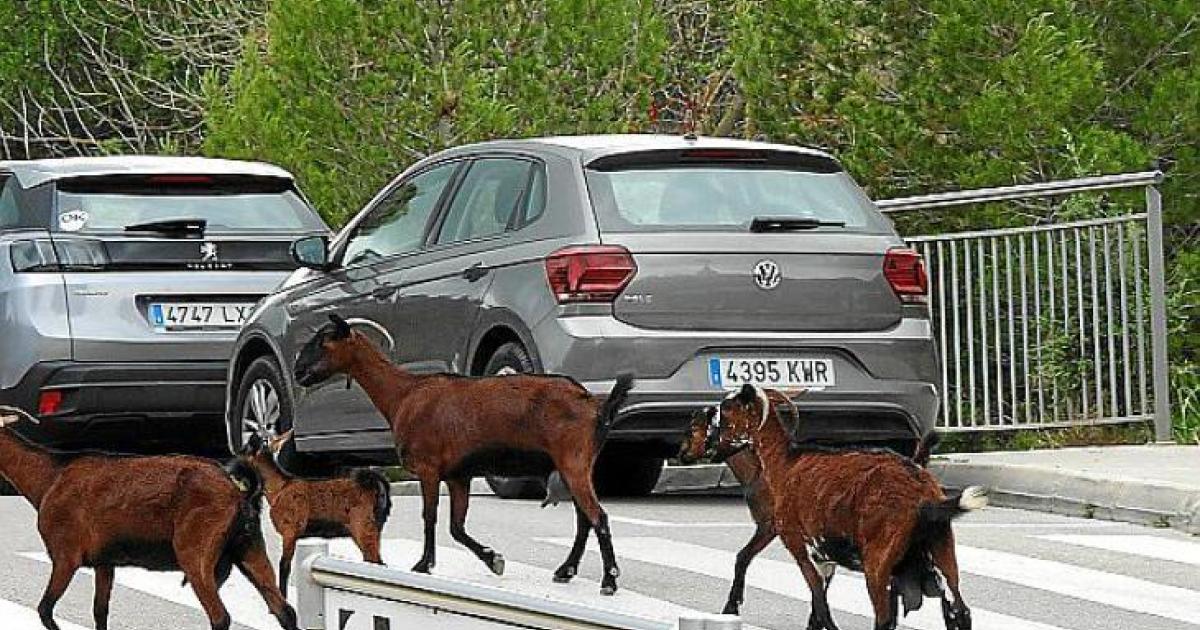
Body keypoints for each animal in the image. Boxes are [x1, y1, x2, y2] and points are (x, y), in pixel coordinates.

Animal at [0, 408, 297, 630]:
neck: (48, 477)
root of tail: (239, 491)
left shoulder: (65, 555)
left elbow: (45, 610)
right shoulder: (104, 561)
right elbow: (100, 612)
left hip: (195, 549)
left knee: (220, 617)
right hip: (249, 545)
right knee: (283, 609)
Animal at [241, 431, 391, 593]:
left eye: (247, 448)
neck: (279, 489)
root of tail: (377, 487)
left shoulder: (290, 531)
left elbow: (284, 567)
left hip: (363, 528)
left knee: (376, 562)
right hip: (374, 529)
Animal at [293, 313, 634, 595]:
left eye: (325, 339)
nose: (298, 371)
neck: (404, 394)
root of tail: (595, 404)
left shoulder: (429, 468)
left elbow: (429, 516)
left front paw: (423, 565)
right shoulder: (459, 475)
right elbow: (456, 527)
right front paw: (493, 559)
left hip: (574, 462)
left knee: (598, 516)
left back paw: (609, 580)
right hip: (572, 466)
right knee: (584, 519)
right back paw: (566, 571)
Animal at [678, 408, 942, 615]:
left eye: (693, 427)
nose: (682, 454)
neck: (763, 467)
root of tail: (916, 468)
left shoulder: (770, 525)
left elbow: (743, 556)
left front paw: (731, 605)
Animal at [705, 386, 986, 630]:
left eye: (727, 409)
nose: (712, 446)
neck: (786, 462)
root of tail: (925, 497)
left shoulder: (799, 547)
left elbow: (820, 603)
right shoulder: (825, 557)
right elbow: (818, 607)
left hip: (878, 563)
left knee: (884, 619)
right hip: (942, 552)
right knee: (959, 611)